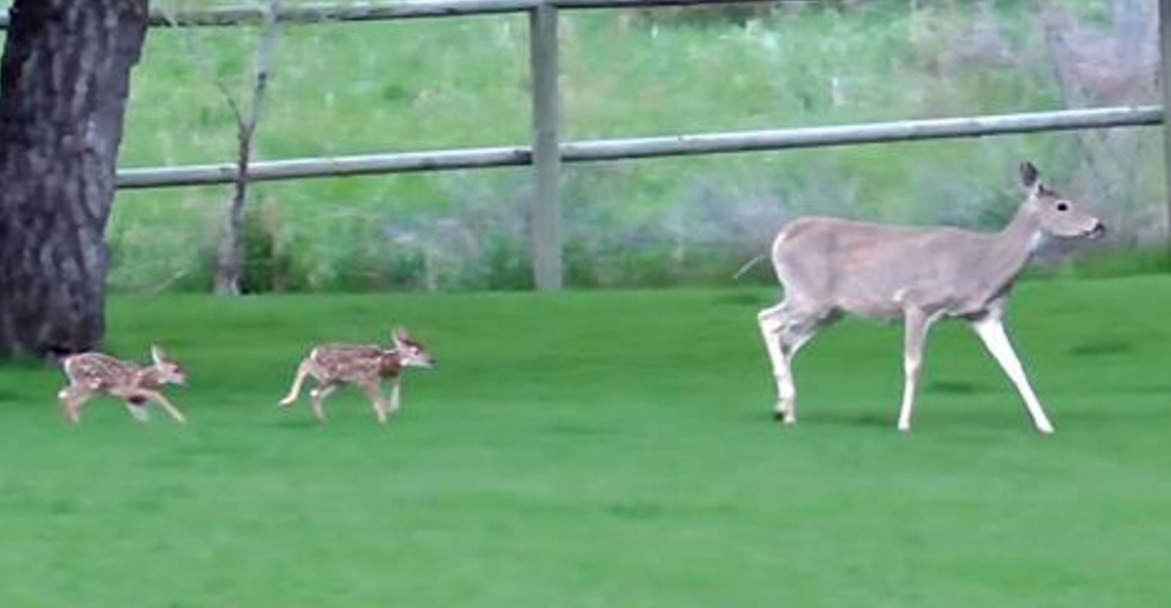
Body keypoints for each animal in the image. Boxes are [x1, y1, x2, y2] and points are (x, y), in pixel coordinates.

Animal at [57, 345, 189, 425]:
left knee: (65, 396)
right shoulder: (136, 390)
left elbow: (139, 412)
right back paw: (77, 424)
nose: (185, 379)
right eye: (175, 370)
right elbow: (161, 400)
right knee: (69, 399)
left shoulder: (133, 398)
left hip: (90, 387)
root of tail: (69, 362)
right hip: (89, 385)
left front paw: (145, 424)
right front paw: (182, 419)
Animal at [277, 327, 436, 424]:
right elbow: (380, 401)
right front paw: (384, 421)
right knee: (305, 366)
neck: (386, 362)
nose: (432, 361)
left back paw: (323, 420)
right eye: (415, 351)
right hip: (329, 373)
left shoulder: (386, 379)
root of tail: (315, 351)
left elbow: (391, 396)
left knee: (315, 393)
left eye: (424, 347)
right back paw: (286, 402)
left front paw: (388, 412)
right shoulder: (366, 380)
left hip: (338, 382)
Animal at [757, 162, 1105, 434]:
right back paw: (786, 405)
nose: (1099, 225)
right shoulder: (916, 303)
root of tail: (782, 236)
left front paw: (1045, 425)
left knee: (787, 340)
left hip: (829, 311)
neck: (984, 264)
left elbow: (1014, 365)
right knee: (767, 319)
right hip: (809, 296)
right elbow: (913, 364)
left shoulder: (984, 315)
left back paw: (785, 409)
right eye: (1063, 205)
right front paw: (903, 424)